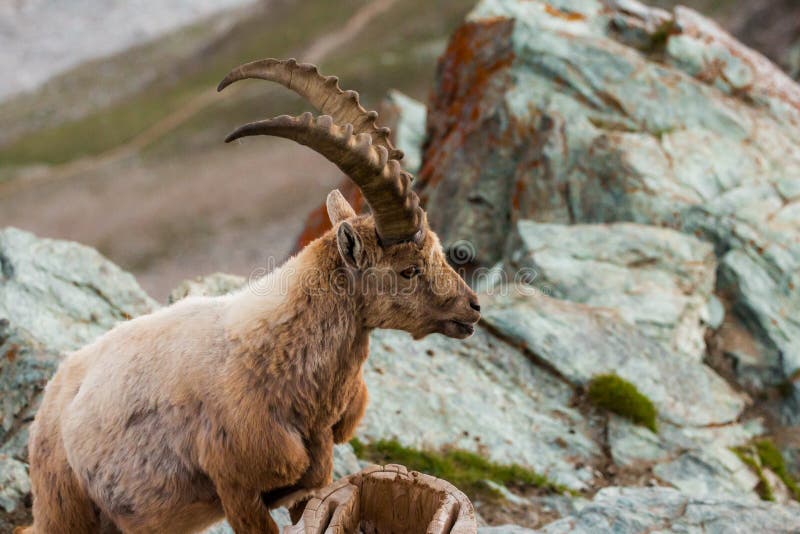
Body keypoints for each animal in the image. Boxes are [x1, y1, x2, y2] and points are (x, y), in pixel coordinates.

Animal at [19, 58, 481, 534]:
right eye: (408, 269)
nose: (473, 308)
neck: (281, 360)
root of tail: (51, 397)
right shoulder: (236, 489)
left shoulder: (309, 483)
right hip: (65, 507)